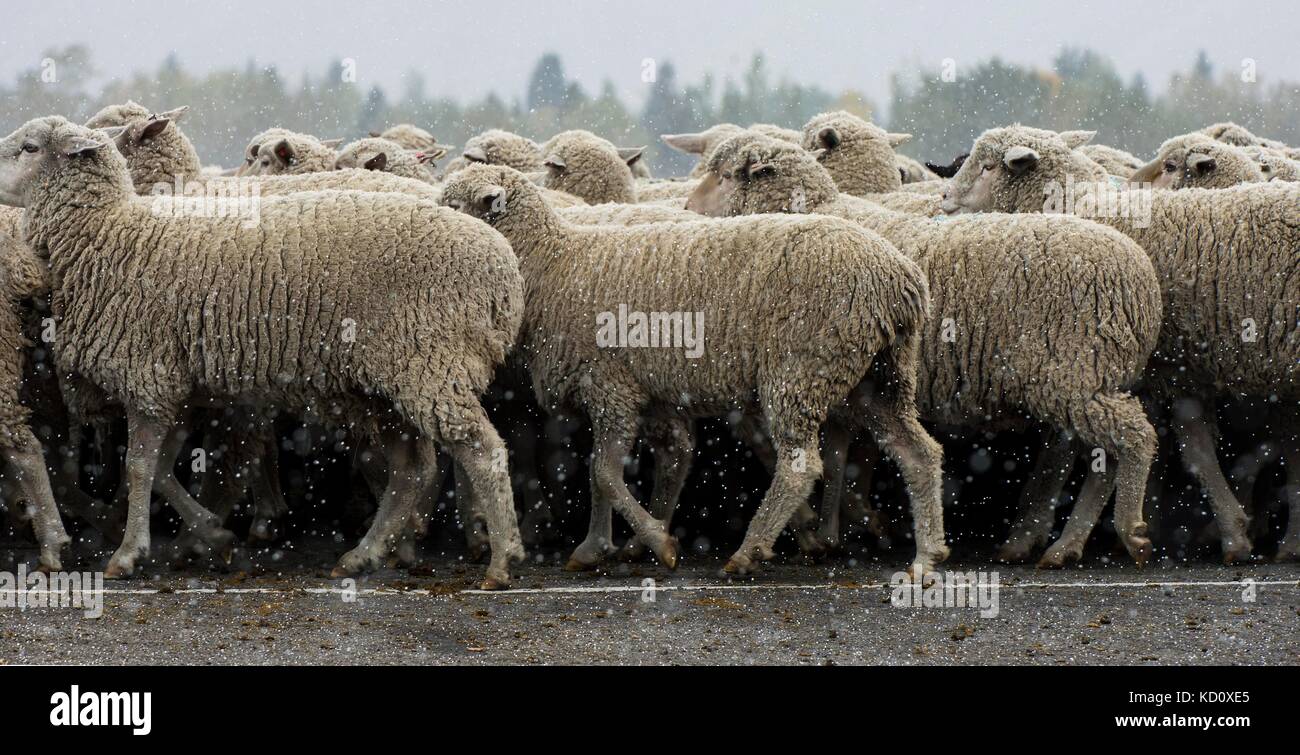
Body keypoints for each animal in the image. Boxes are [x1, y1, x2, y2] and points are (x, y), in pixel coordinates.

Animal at [0, 117, 527, 588]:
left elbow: (140, 468)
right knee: (411, 470)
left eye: (29, 146)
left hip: (431, 364)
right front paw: (213, 536)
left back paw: (500, 560)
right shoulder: (184, 390)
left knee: (482, 452)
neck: (110, 234)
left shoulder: (148, 376)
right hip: (391, 384)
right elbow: (164, 471)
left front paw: (129, 554)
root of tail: (506, 272)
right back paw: (364, 554)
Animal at [439, 163, 948, 578]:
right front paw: (596, 546)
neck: (551, 260)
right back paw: (927, 556)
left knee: (800, 465)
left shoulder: (610, 385)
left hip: (802, 367)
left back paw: (748, 550)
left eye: (454, 205)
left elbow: (603, 472)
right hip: (880, 377)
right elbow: (609, 471)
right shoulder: (631, 393)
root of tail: (899, 278)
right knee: (919, 453)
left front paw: (656, 542)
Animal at [688, 131, 1162, 566]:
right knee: (1103, 454)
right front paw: (832, 532)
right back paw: (1064, 543)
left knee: (1128, 439)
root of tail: (1140, 280)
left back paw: (1125, 531)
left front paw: (838, 530)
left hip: (1073, 373)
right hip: (1091, 376)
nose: (688, 209)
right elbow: (840, 457)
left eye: (724, 177)